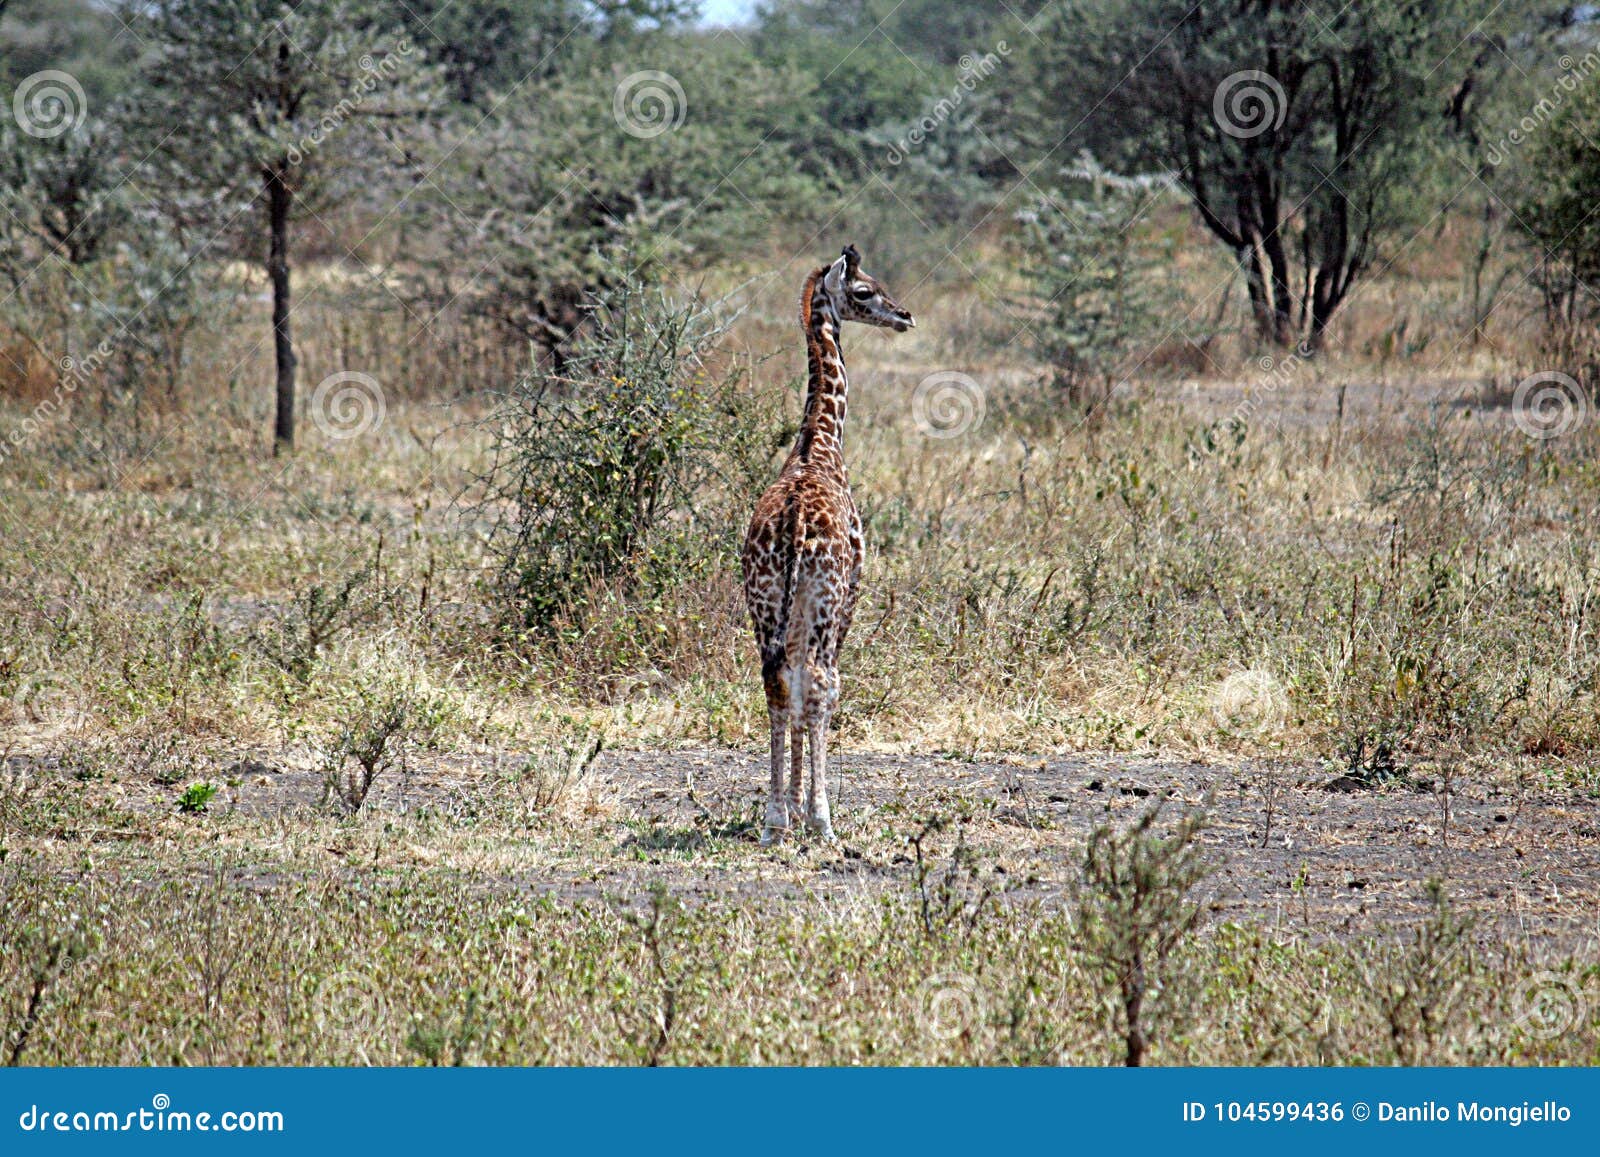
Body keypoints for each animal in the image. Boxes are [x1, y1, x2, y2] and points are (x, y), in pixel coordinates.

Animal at [742, 244, 914, 846]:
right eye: (864, 291)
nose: (905, 317)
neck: (818, 444)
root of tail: (793, 526)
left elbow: (790, 692)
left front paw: (789, 806)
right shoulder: (851, 593)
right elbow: (828, 689)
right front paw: (809, 809)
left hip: (765, 602)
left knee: (776, 683)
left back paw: (774, 821)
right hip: (822, 600)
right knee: (817, 683)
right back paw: (821, 819)